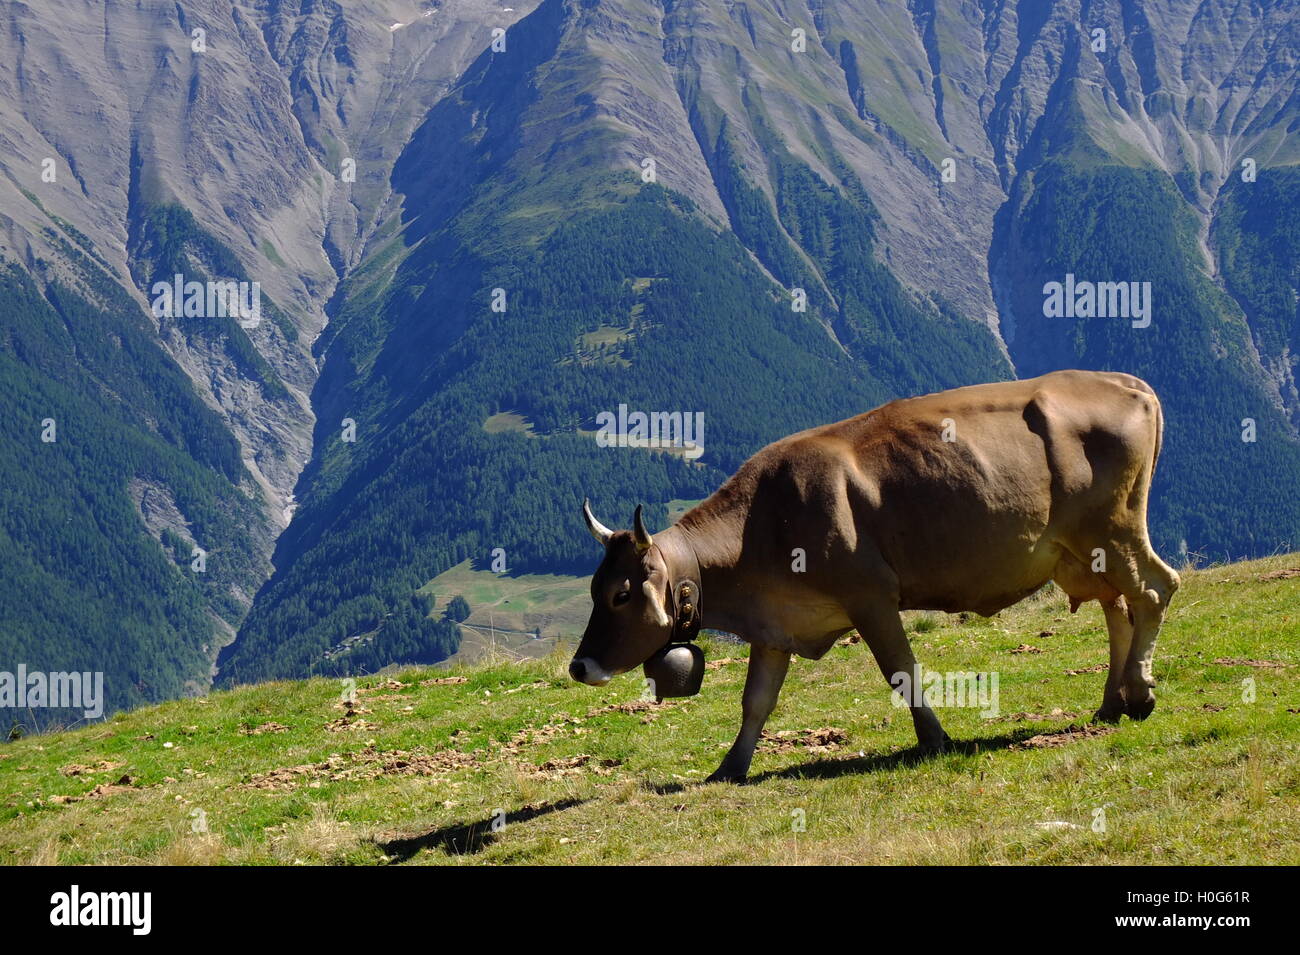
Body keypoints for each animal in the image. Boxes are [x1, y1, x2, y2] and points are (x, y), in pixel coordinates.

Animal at [569, 370, 1180, 782]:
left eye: (622, 594)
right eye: (594, 590)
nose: (578, 667)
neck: (762, 523)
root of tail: (1124, 381)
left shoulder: (870, 598)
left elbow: (901, 671)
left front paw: (935, 739)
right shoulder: (777, 625)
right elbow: (756, 701)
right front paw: (730, 768)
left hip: (1114, 531)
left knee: (1154, 590)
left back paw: (1139, 693)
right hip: (1081, 555)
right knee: (1118, 608)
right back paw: (1110, 703)